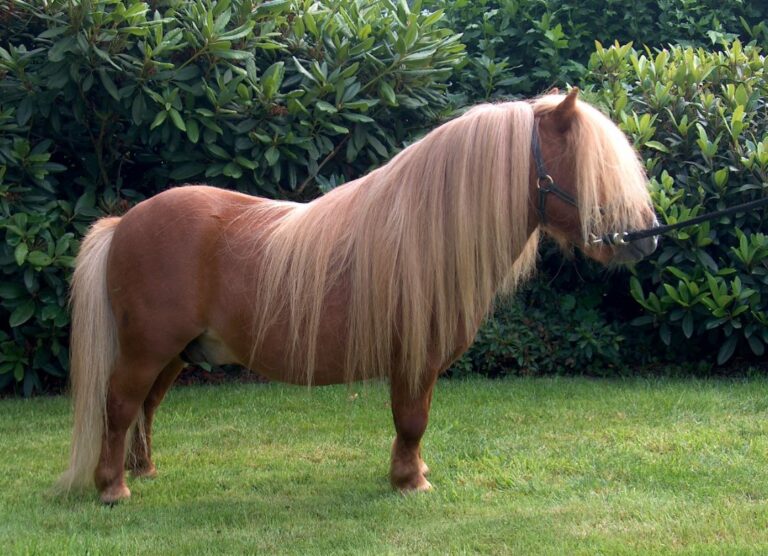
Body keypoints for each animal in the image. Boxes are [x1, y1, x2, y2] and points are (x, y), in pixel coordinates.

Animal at [54, 89, 658, 504]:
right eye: (594, 168)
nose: (646, 237)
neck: (427, 232)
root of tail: (124, 222)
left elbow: (413, 422)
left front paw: (412, 474)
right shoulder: (413, 361)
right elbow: (412, 420)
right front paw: (410, 482)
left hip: (175, 356)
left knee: (145, 409)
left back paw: (143, 471)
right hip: (146, 350)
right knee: (119, 405)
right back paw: (112, 489)